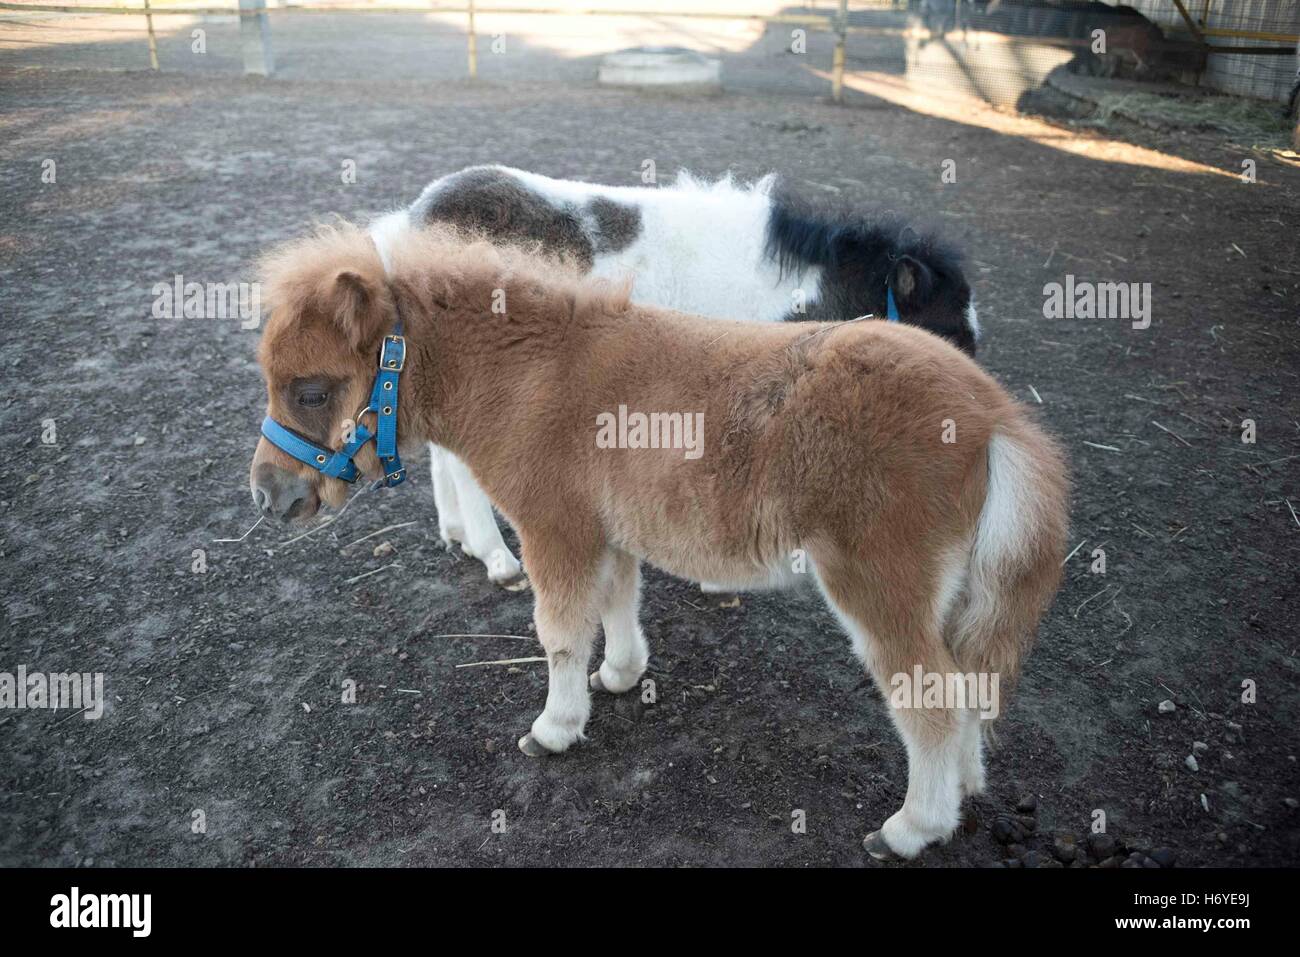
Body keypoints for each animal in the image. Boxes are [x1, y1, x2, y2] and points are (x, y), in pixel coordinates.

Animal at [247, 221, 1069, 860]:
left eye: (311, 390)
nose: (266, 494)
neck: (529, 373)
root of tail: (994, 414)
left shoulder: (555, 528)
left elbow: (558, 632)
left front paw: (555, 727)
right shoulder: (606, 530)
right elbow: (617, 605)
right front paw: (619, 676)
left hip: (879, 585)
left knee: (932, 696)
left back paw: (910, 828)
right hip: (953, 593)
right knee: (968, 682)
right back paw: (962, 791)